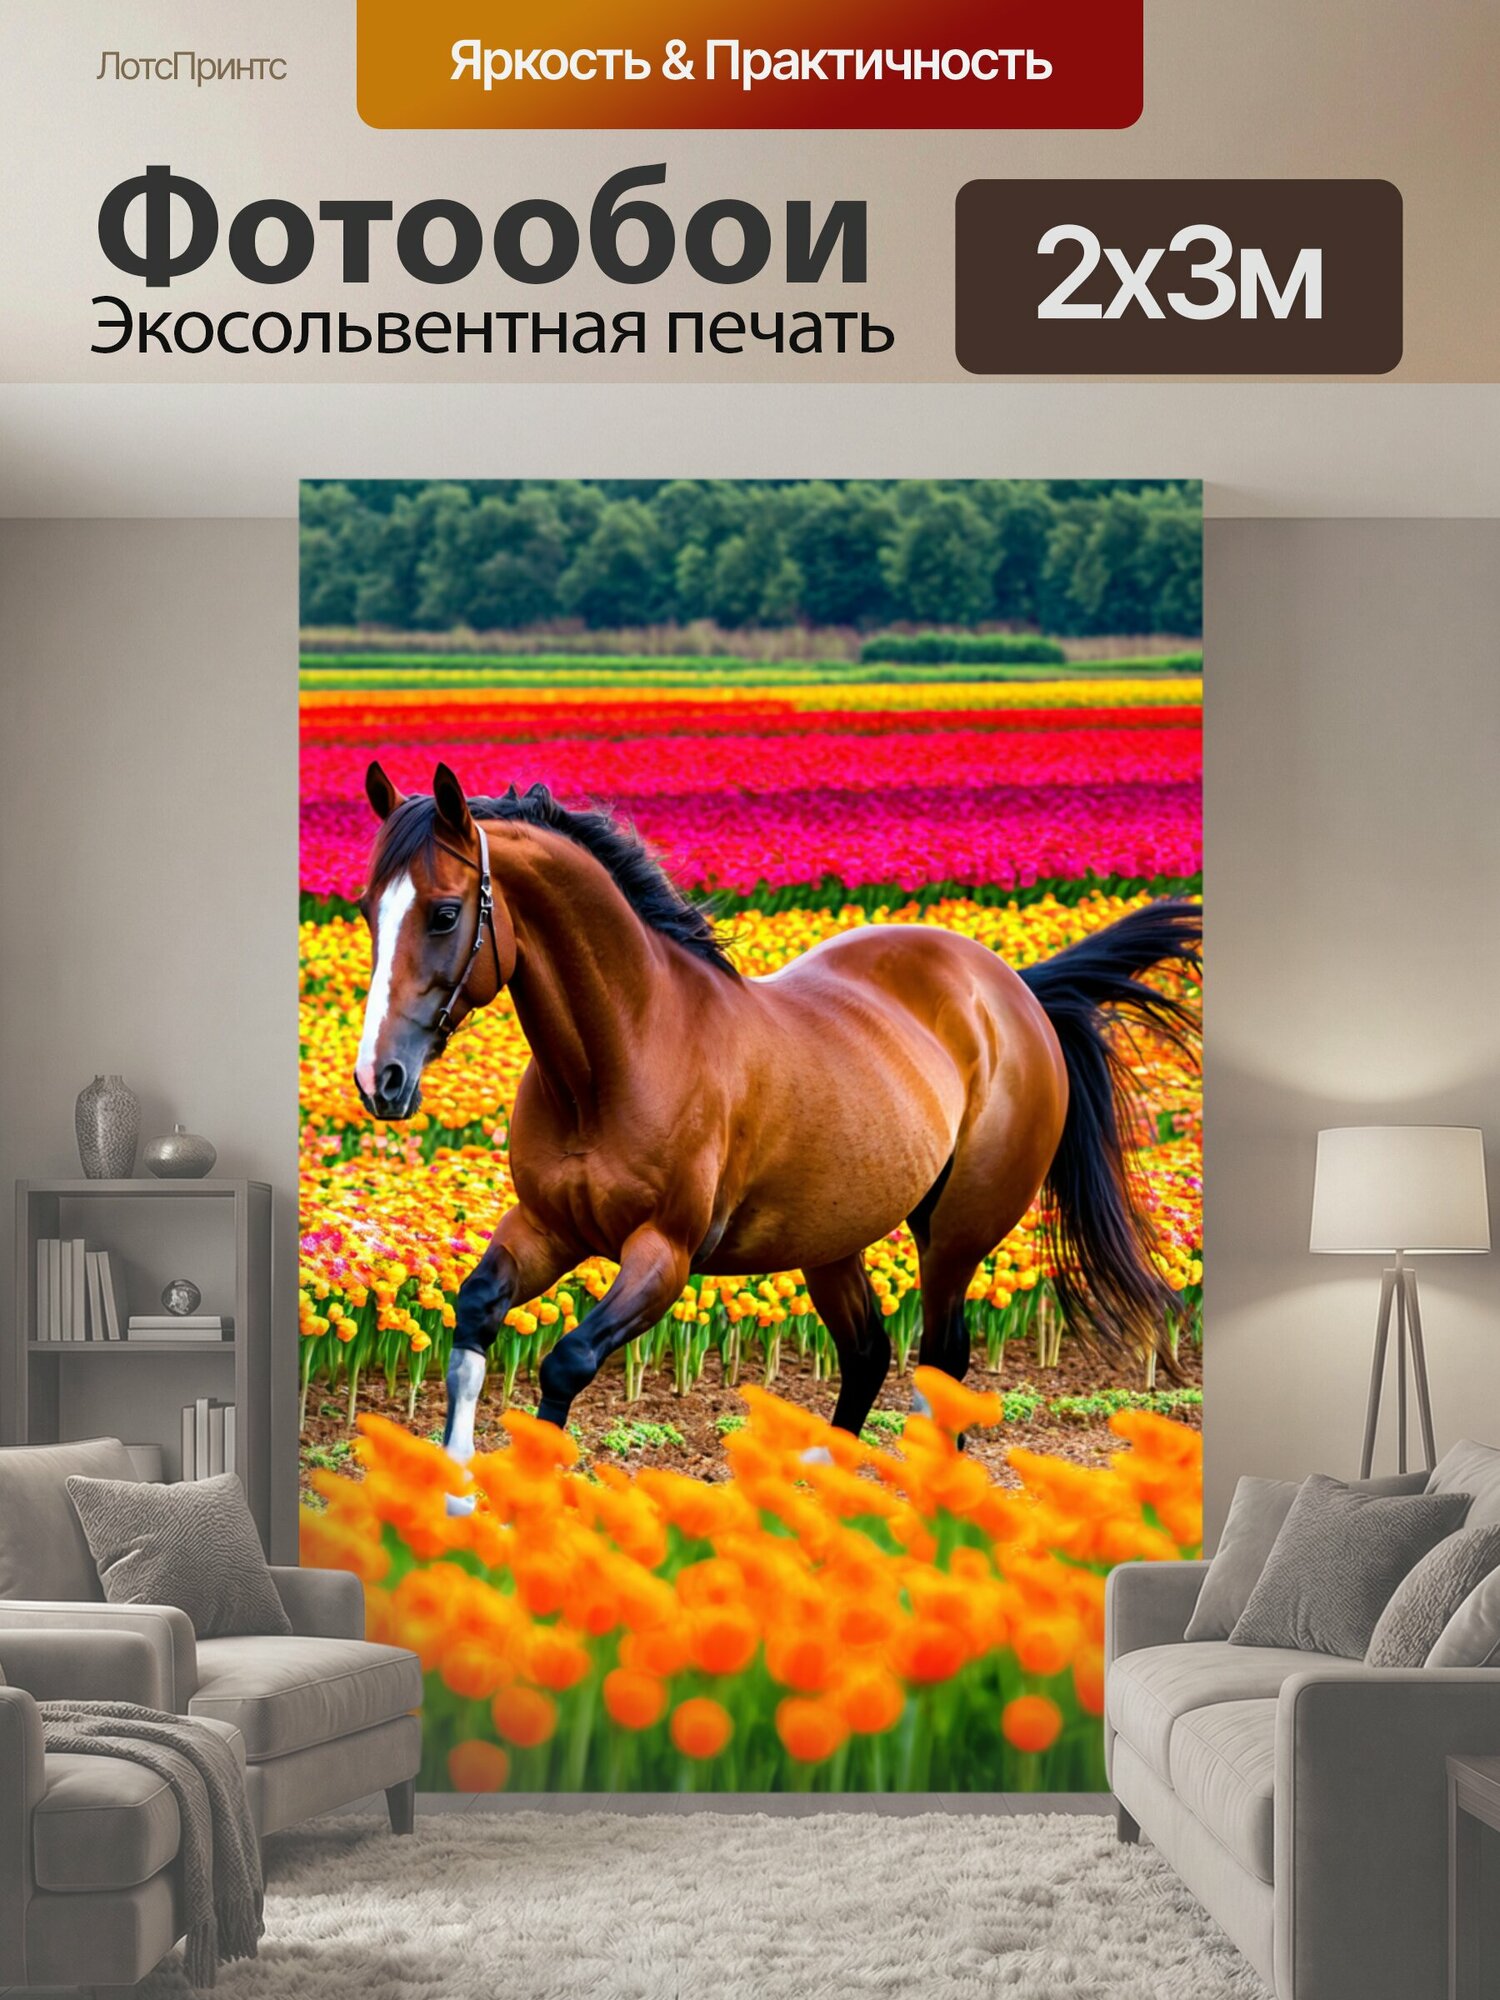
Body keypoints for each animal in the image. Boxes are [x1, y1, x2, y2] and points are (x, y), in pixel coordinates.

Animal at [352, 761, 1201, 1479]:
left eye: (445, 914)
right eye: (367, 911)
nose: (379, 1079)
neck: (616, 1060)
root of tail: (1012, 986)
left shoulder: (665, 1255)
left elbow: (566, 1362)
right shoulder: (548, 1226)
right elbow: (473, 1314)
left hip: (955, 1235)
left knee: (941, 1360)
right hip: (832, 1243)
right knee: (869, 1353)